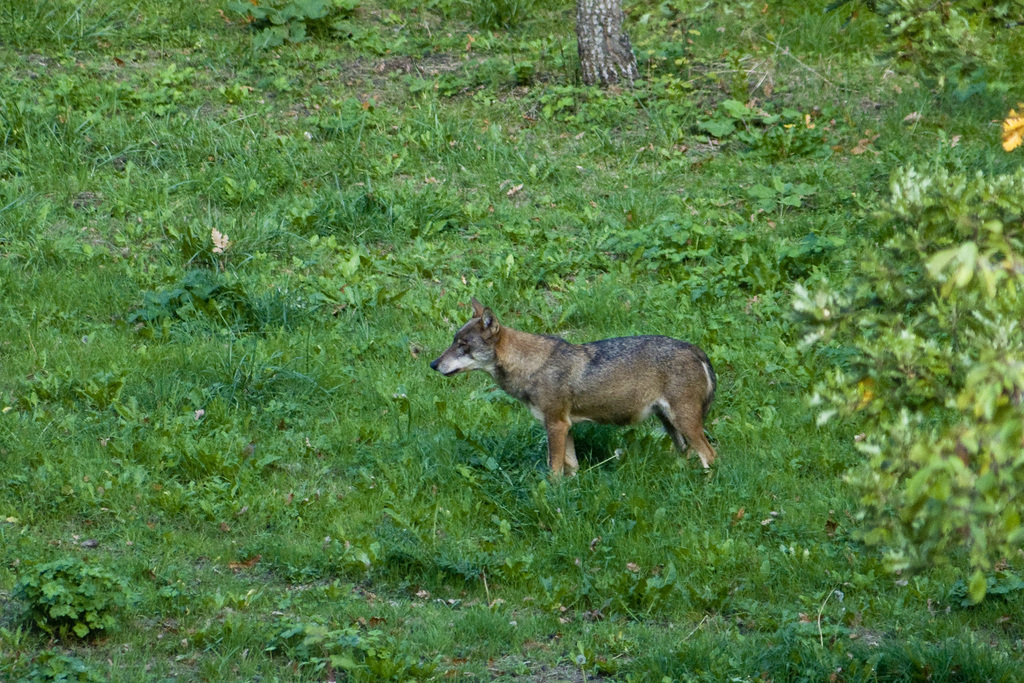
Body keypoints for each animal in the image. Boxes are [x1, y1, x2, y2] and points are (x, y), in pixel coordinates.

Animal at [430, 299, 717, 476]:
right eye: (453, 341)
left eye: (463, 345)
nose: (433, 364)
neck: (531, 366)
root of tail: (695, 349)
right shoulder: (564, 427)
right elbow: (572, 467)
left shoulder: (556, 425)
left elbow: (553, 470)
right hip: (671, 426)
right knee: (691, 454)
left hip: (684, 422)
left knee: (711, 455)